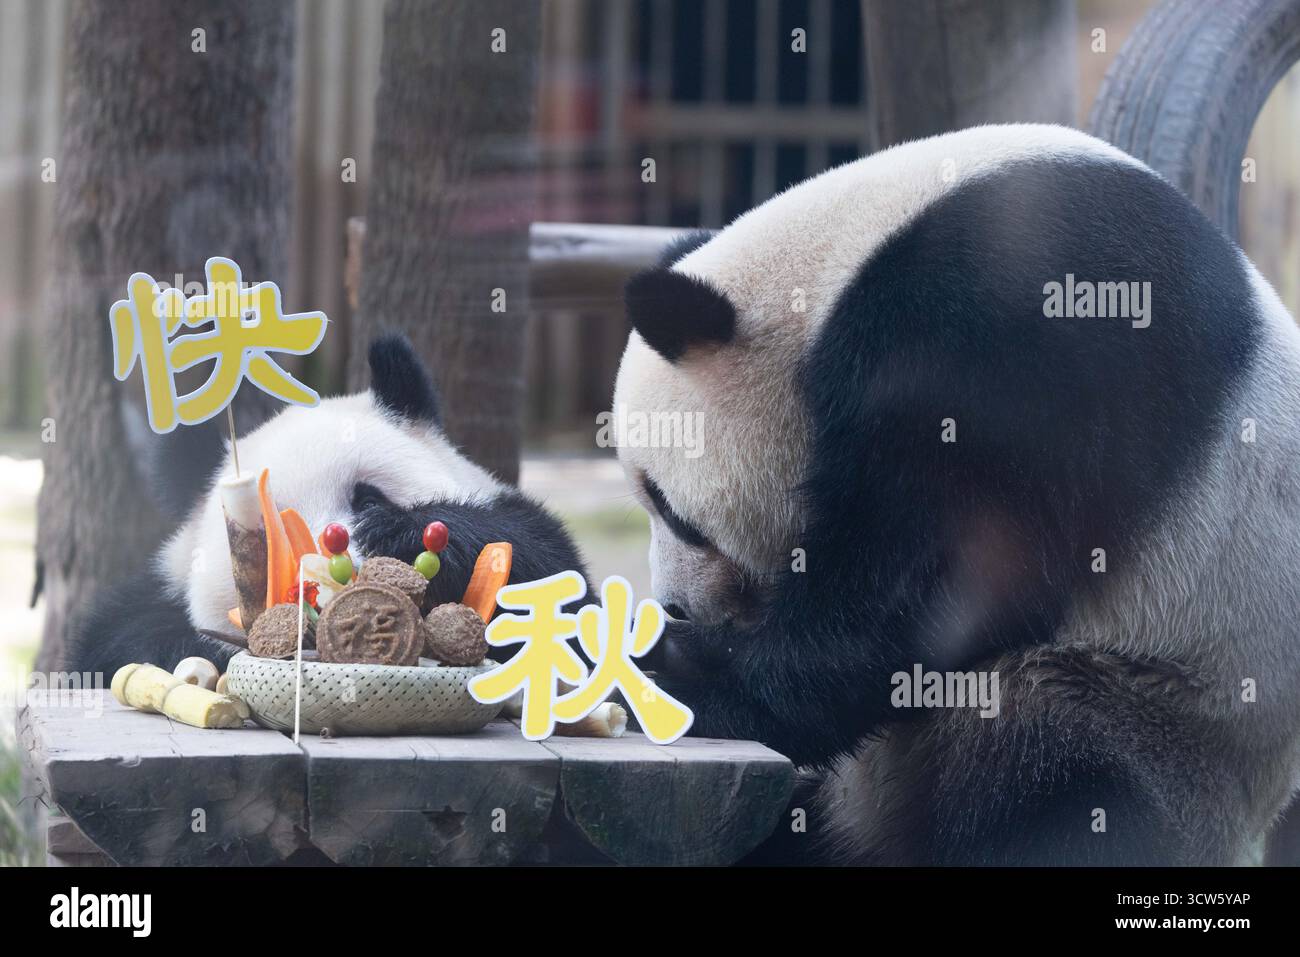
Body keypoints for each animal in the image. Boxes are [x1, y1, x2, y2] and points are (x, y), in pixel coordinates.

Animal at [68, 335, 586, 678]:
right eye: (268, 543)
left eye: (368, 498)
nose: (337, 584)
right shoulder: (148, 604)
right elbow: (119, 644)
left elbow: (559, 595)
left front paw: (399, 536)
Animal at [614, 123, 1300, 865]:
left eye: (674, 512)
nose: (673, 606)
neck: (834, 272)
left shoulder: (1017, 326)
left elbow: (946, 577)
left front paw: (673, 670)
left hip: (1173, 703)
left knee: (1048, 754)